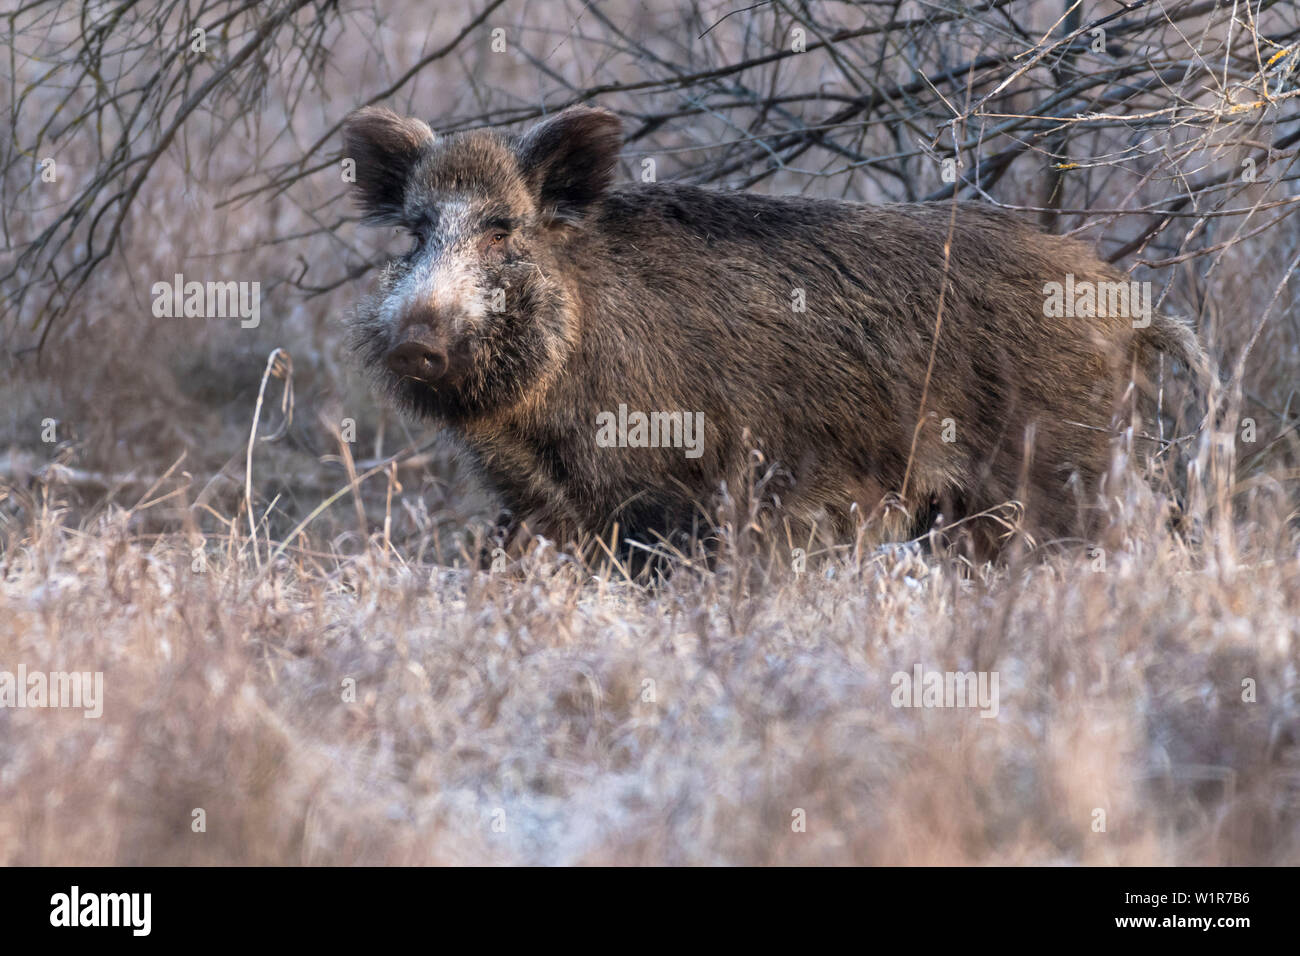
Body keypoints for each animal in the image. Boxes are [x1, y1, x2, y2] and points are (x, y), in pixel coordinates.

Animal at [341, 104, 1204, 571]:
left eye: (501, 229)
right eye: (416, 232)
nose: (414, 344)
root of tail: (1132, 304)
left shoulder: (677, 498)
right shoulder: (543, 510)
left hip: (1061, 467)